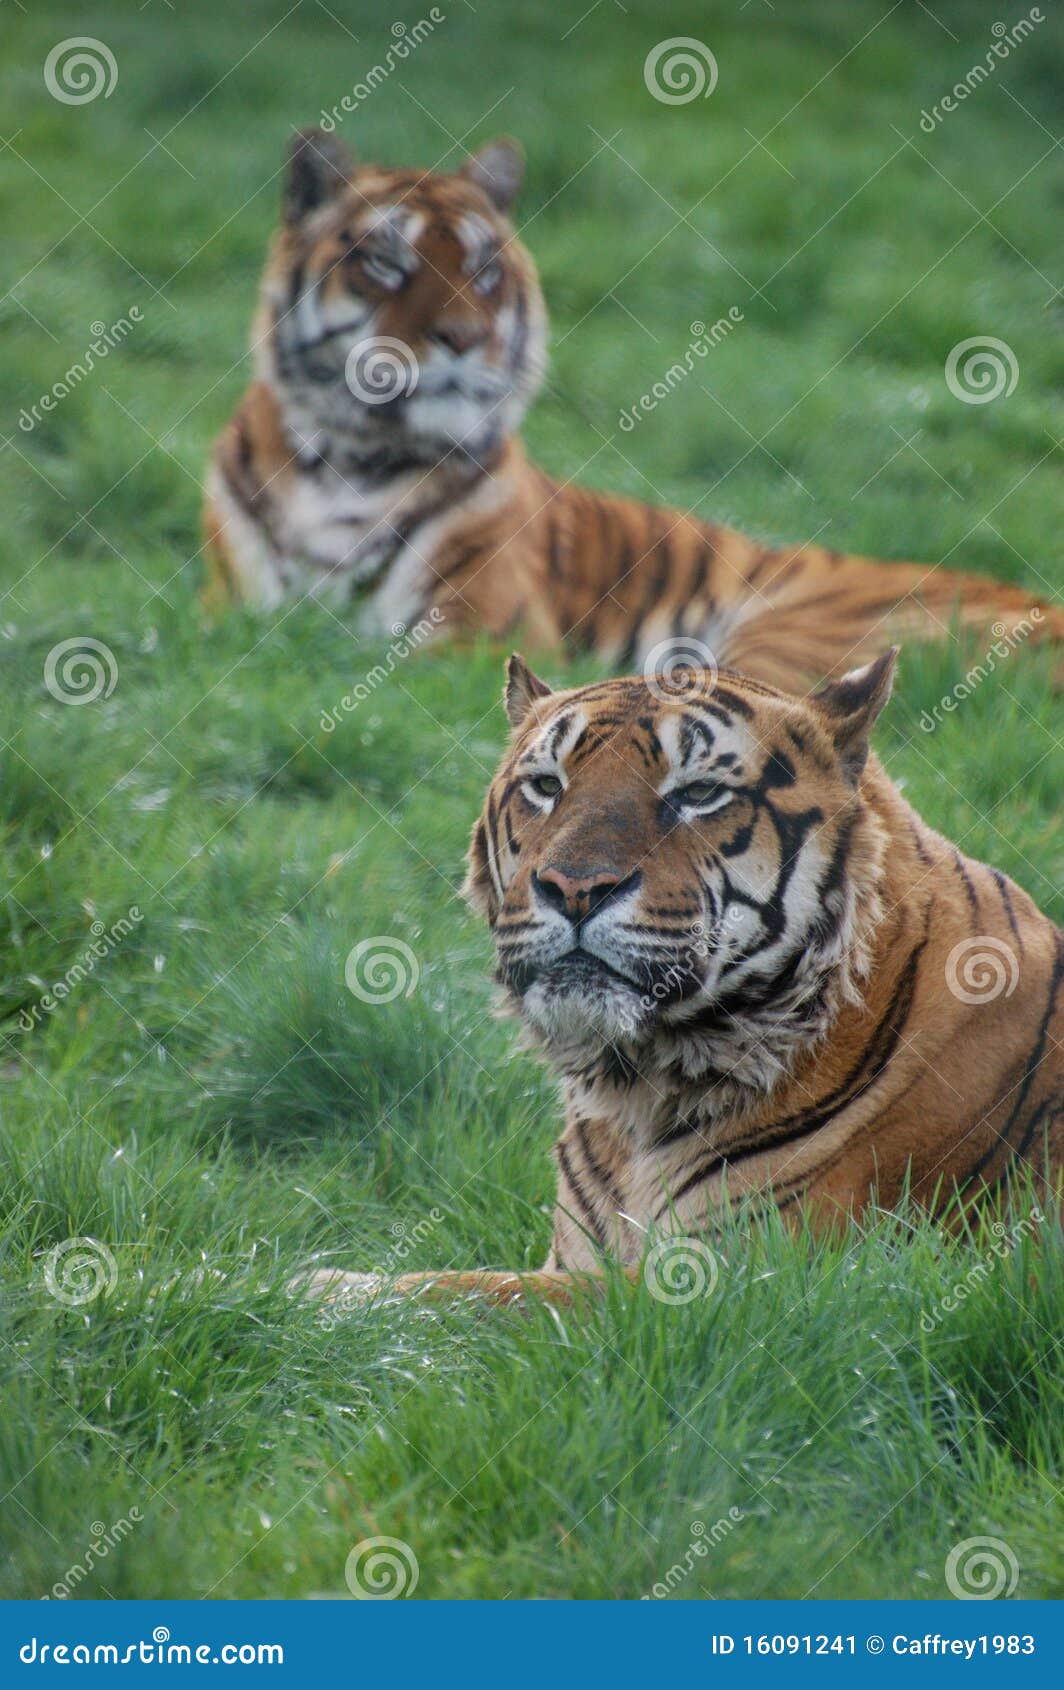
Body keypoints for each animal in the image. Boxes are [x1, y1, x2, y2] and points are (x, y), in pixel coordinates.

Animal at [204, 128, 1064, 692]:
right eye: (387, 262)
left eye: (483, 271)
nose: (464, 338)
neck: (352, 457)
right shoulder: (232, 607)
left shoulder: (483, 634)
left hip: (791, 637)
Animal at [303, 650, 1064, 1309]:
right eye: (546, 786)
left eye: (699, 793)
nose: (573, 888)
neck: (633, 1091)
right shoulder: (579, 1254)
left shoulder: (721, 1279)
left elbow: (469, 1294)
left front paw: (306, 1289)